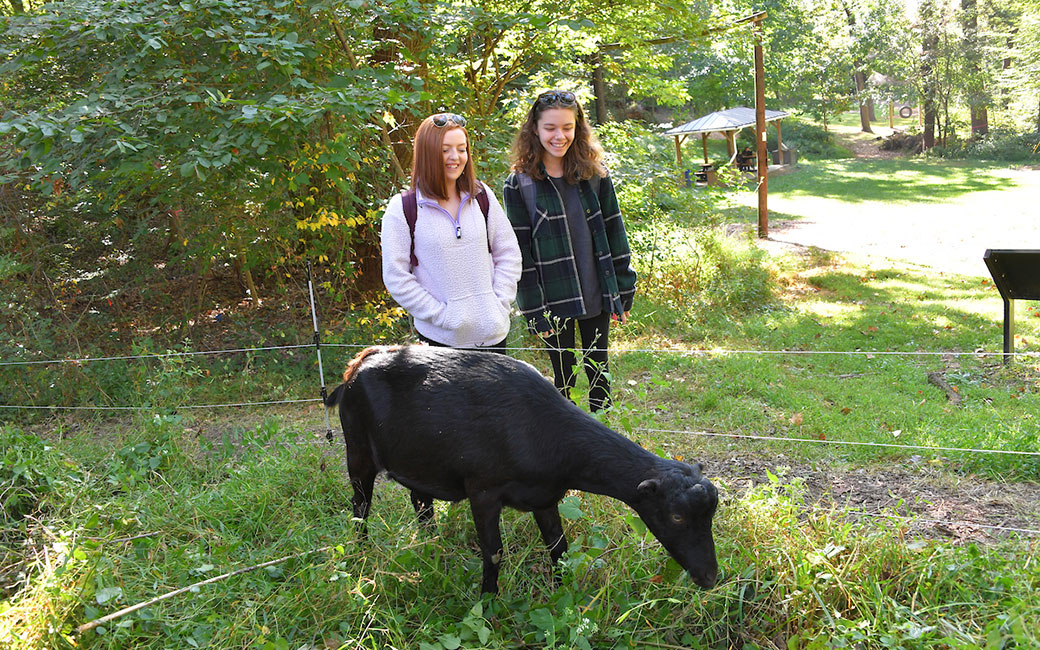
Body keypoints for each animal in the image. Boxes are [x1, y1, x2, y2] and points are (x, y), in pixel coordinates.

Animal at [324, 345, 719, 594]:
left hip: (417, 458)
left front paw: (563, 595)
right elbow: (494, 552)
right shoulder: (483, 491)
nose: (711, 577)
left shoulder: (545, 498)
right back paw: (360, 556)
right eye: (678, 517)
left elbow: (559, 547)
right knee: (360, 507)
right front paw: (487, 605)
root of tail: (360, 362)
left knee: (420, 502)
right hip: (357, 452)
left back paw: (431, 547)